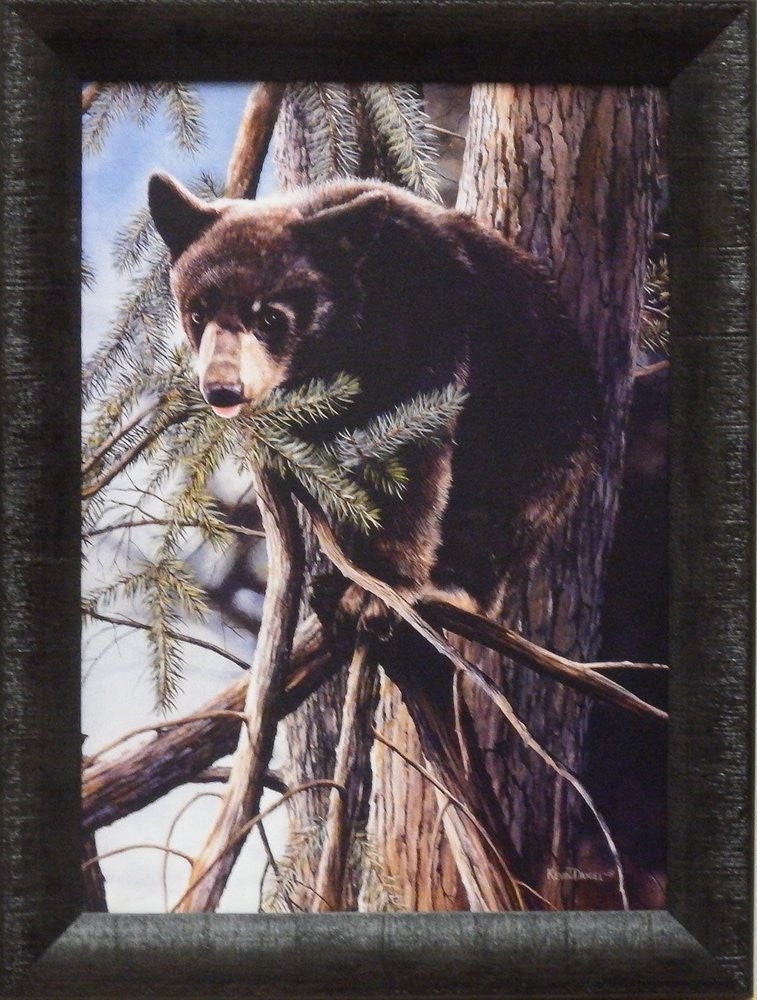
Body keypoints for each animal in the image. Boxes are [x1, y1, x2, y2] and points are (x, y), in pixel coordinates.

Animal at [148, 173, 599, 634]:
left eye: (271, 318)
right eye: (197, 314)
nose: (223, 389)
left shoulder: (430, 328)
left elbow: (412, 457)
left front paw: (378, 588)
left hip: (540, 434)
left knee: (498, 512)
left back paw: (453, 586)